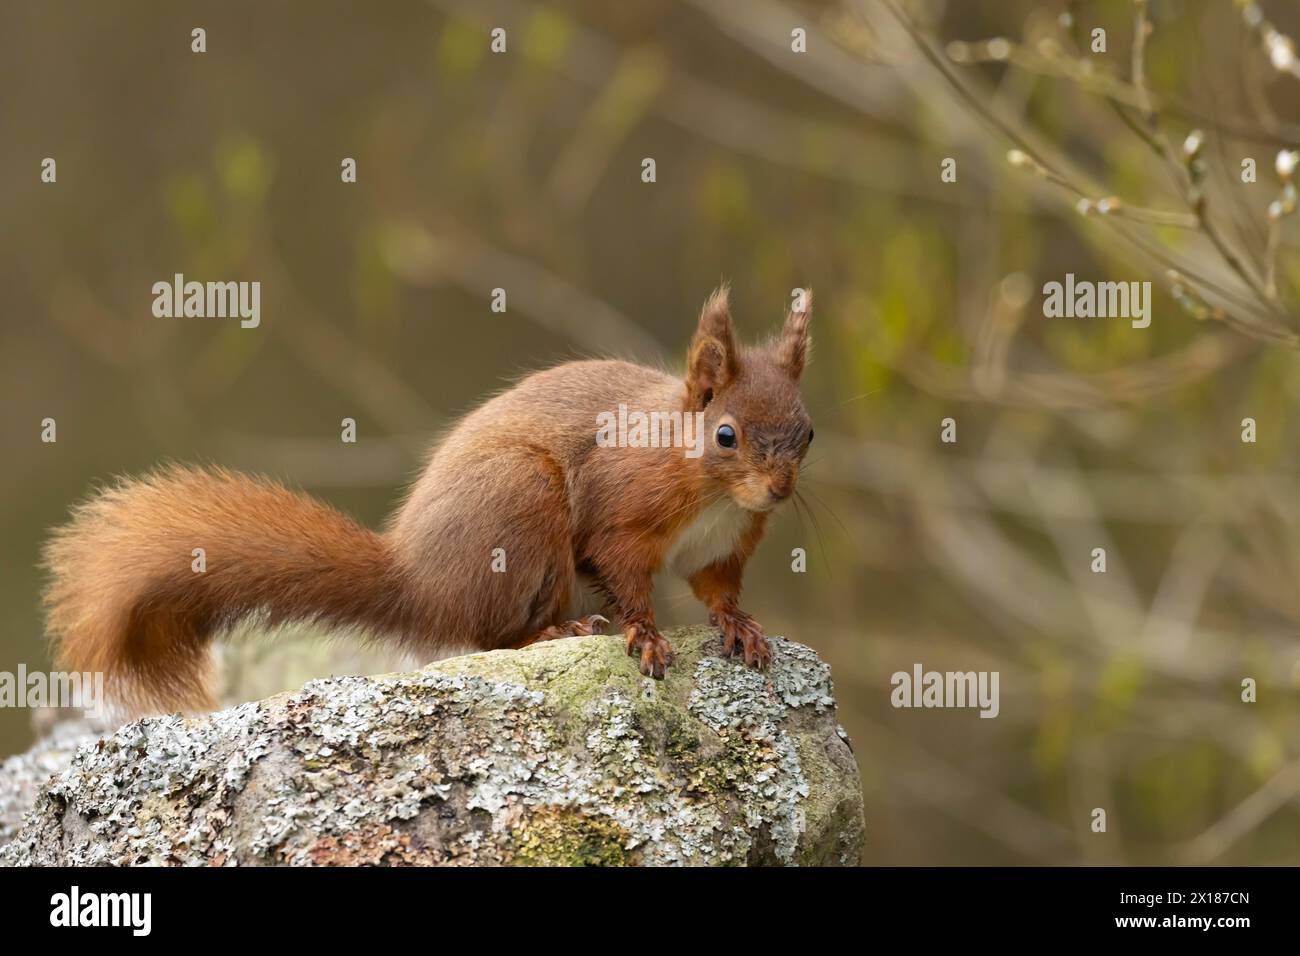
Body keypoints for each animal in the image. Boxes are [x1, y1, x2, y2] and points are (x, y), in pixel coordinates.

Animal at [43, 286, 814, 715]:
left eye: (808, 431)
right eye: (726, 434)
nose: (778, 491)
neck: (713, 495)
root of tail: (421, 582)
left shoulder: (722, 547)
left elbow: (716, 589)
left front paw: (741, 626)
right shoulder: (622, 507)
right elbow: (624, 572)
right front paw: (647, 636)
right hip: (521, 506)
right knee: (488, 633)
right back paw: (554, 632)